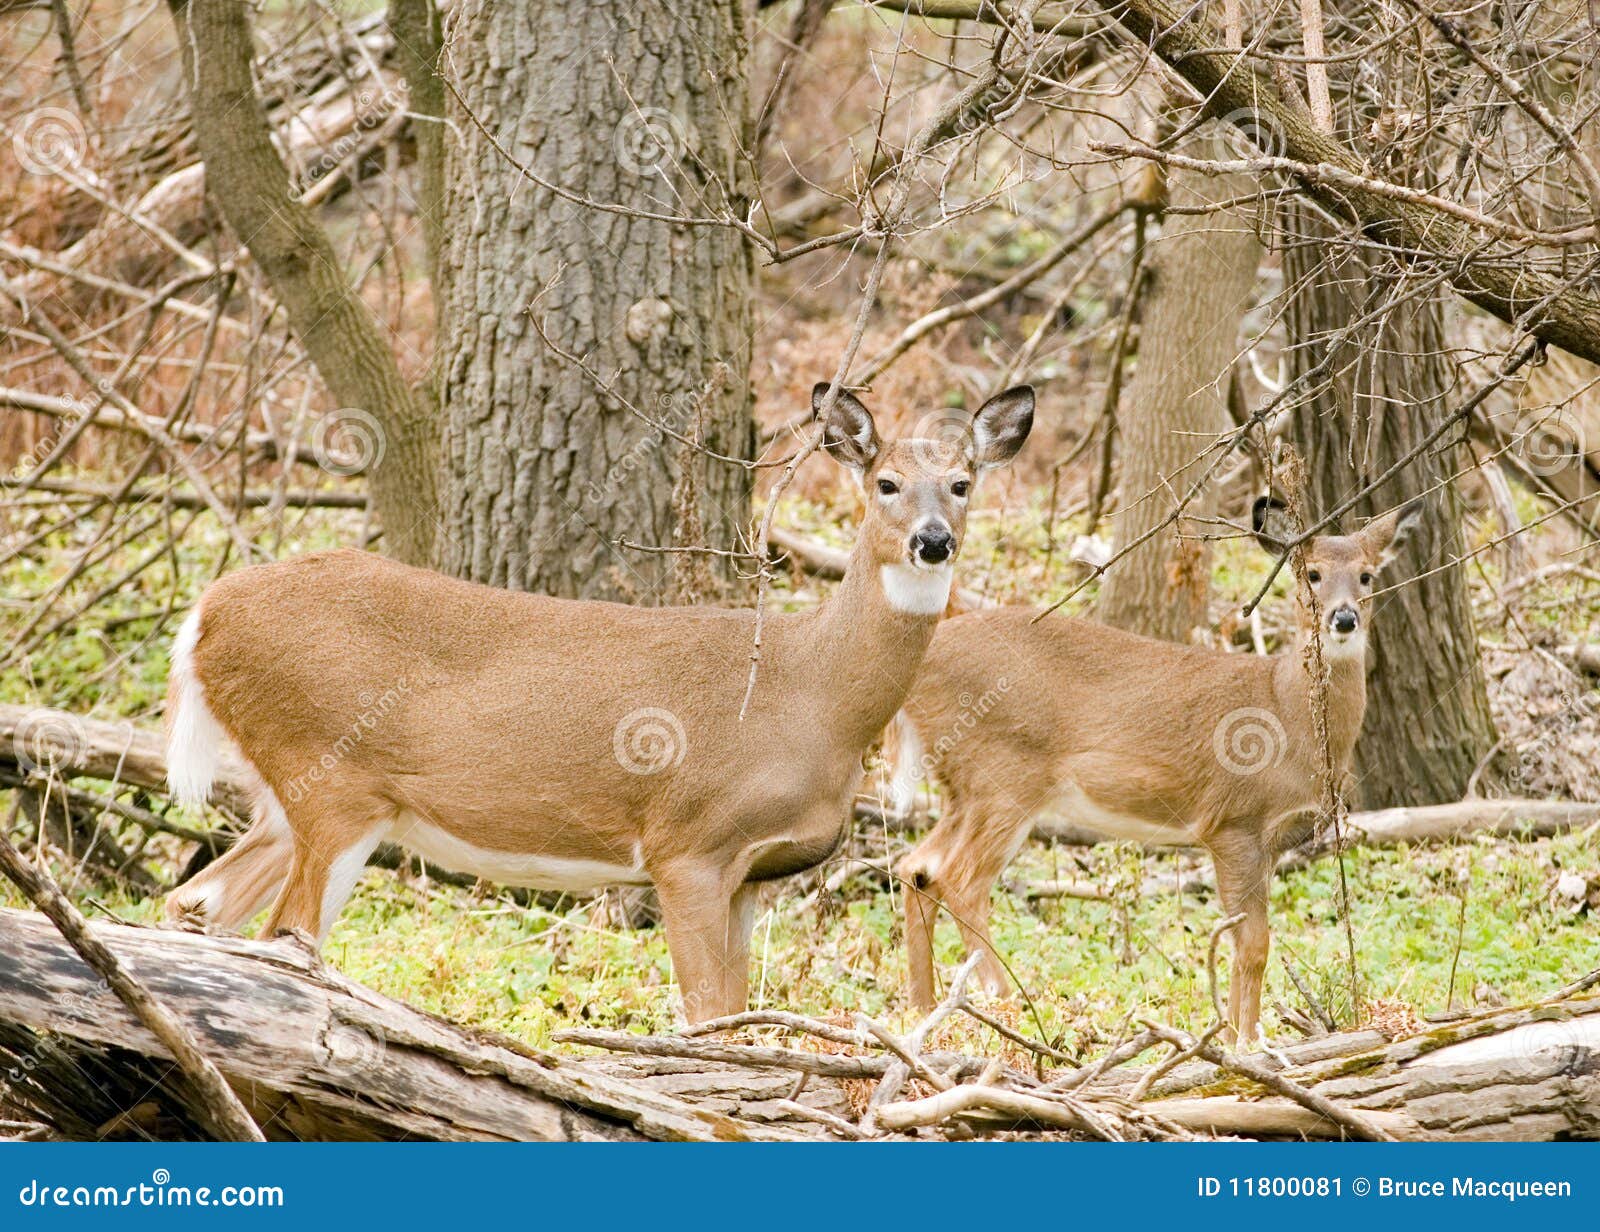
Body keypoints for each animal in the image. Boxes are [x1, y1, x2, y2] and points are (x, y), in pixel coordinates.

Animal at [163, 383, 1033, 1022]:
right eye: (885, 483)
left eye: (963, 484)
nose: (933, 540)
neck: (811, 694)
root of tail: (205, 611)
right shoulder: (689, 843)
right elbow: (706, 1018)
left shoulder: (752, 872)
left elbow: (735, 1011)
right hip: (332, 780)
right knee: (285, 934)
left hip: (292, 793)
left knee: (198, 903)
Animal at [887, 495, 1424, 1044]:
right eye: (1311, 574)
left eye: (1366, 575)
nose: (1344, 618)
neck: (1284, 707)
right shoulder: (1233, 822)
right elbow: (1253, 944)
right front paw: (1244, 1041)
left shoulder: (1272, 841)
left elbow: (1247, 943)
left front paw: (1236, 1035)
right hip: (1004, 773)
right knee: (959, 880)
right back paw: (1007, 1000)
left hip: (966, 785)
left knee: (917, 867)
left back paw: (921, 1009)